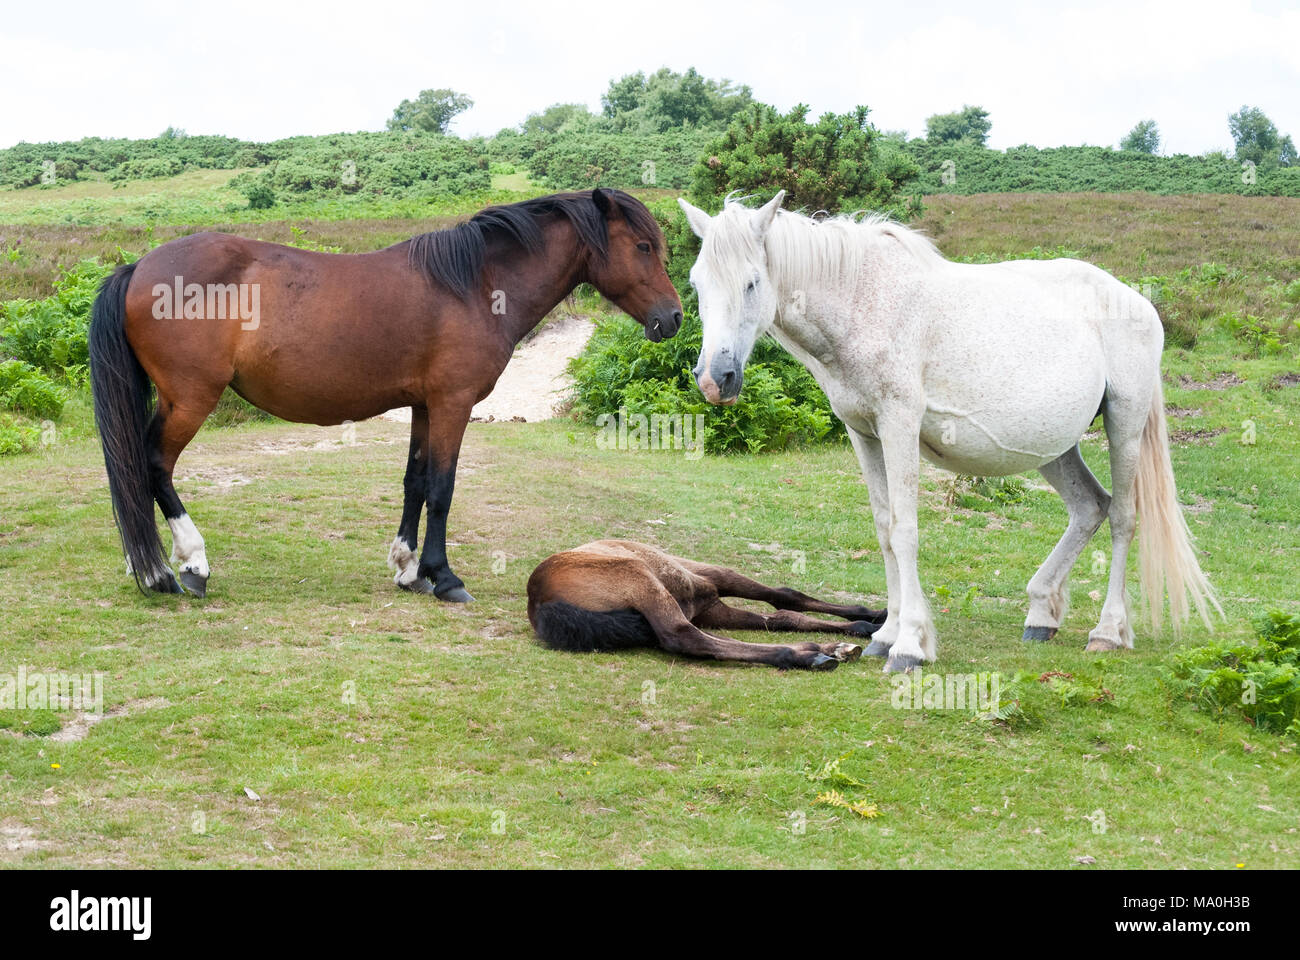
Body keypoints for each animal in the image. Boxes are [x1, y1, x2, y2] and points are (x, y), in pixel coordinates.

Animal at [88, 189, 683, 601]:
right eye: (643, 246)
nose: (673, 318)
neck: (475, 283)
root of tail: (138, 268)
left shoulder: (424, 405)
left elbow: (415, 483)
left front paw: (408, 568)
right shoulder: (453, 404)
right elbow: (442, 488)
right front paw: (444, 578)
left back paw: (146, 563)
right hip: (190, 400)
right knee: (155, 465)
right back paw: (185, 567)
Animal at [527, 539, 885, 670]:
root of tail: (538, 600)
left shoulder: (712, 607)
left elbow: (784, 617)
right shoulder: (715, 577)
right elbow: (786, 596)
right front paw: (872, 618)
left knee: (707, 641)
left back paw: (824, 650)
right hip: (638, 577)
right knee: (682, 637)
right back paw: (808, 656)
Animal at [676, 192, 1221, 673]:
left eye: (752, 283)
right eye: (697, 284)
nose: (715, 378)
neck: (864, 301)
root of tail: (1135, 300)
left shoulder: (899, 424)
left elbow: (905, 530)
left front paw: (909, 646)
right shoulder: (864, 433)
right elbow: (884, 528)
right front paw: (885, 634)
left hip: (1124, 425)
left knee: (1124, 518)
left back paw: (1108, 631)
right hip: (1055, 447)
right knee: (1091, 507)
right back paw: (1041, 614)